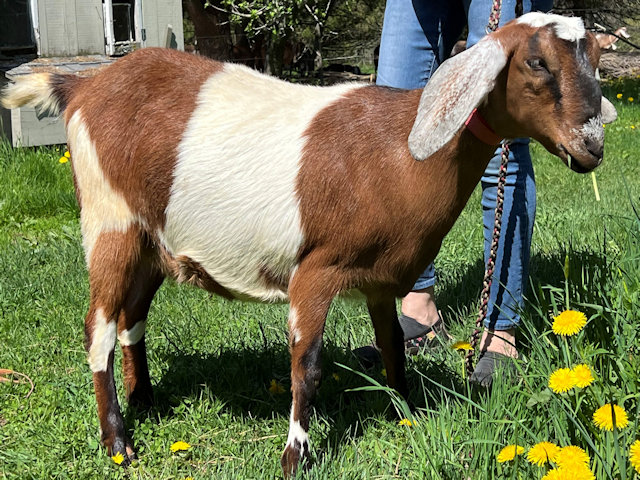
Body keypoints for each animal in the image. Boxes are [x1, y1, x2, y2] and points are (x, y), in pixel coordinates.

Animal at [1, 12, 617, 477]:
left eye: (594, 58)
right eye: (537, 63)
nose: (591, 147)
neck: (398, 153)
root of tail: (81, 86)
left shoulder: (379, 279)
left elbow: (392, 345)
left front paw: (406, 414)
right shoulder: (315, 271)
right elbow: (308, 365)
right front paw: (295, 456)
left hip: (153, 241)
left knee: (132, 319)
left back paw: (145, 401)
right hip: (110, 222)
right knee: (99, 328)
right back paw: (118, 442)